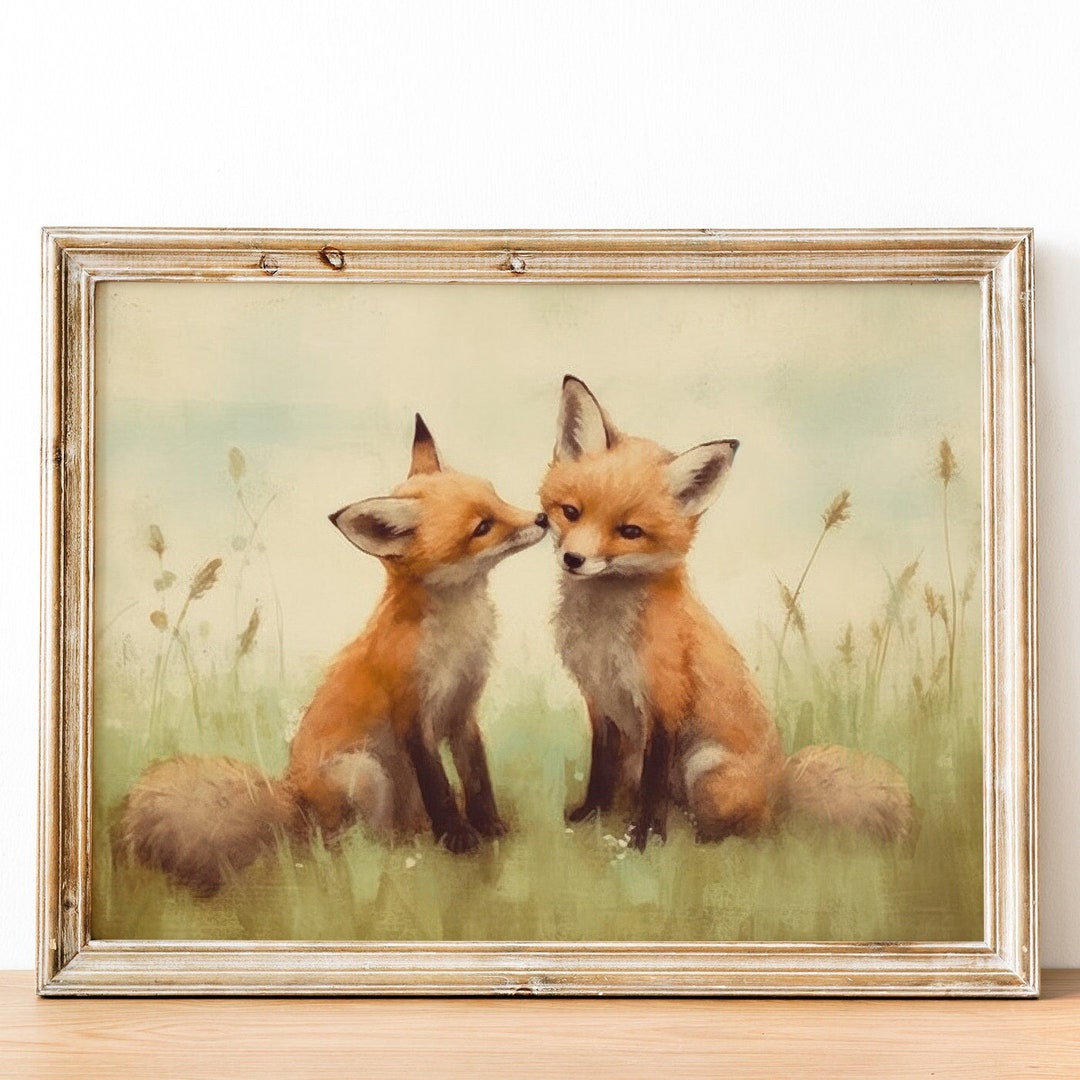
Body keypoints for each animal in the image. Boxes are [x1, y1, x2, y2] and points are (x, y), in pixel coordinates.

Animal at [118, 415, 548, 895]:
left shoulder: (464, 710)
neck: (457, 638)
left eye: (496, 494)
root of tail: (294, 804)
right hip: (365, 773)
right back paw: (402, 853)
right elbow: (439, 786)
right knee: (354, 848)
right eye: (482, 527)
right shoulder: (413, 716)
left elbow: (477, 779)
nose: (543, 518)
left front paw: (490, 828)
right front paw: (459, 839)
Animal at [539, 375, 915, 852]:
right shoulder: (600, 703)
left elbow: (652, 787)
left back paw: (697, 839)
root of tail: (780, 797)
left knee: (740, 834)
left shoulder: (664, 705)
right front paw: (590, 817)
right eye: (571, 512)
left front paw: (644, 842)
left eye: (630, 531)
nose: (574, 559)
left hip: (704, 769)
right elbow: (600, 772)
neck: (602, 638)